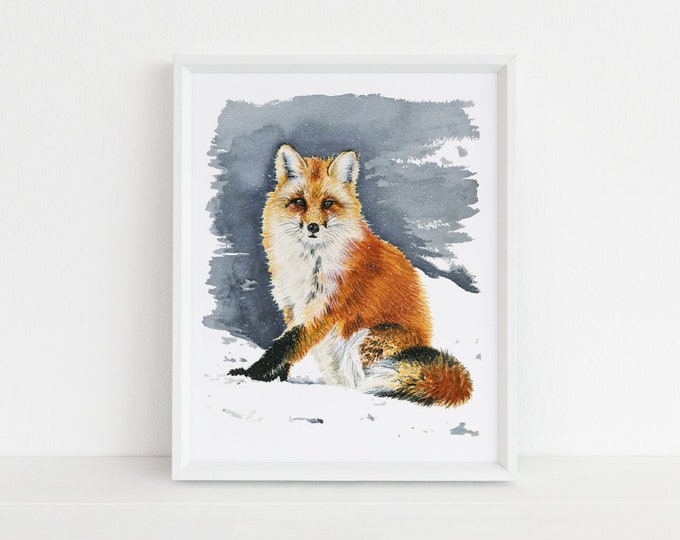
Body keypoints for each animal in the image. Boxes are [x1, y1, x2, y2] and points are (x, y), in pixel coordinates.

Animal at [229, 144, 473, 407]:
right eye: (299, 202)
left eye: (328, 203)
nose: (313, 227)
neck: (310, 262)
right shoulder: (293, 305)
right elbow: (287, 352)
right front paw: (275, 379)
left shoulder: (324, 308)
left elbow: (284, 347)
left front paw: (249, 374)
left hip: (366, 339)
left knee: (362, 382)